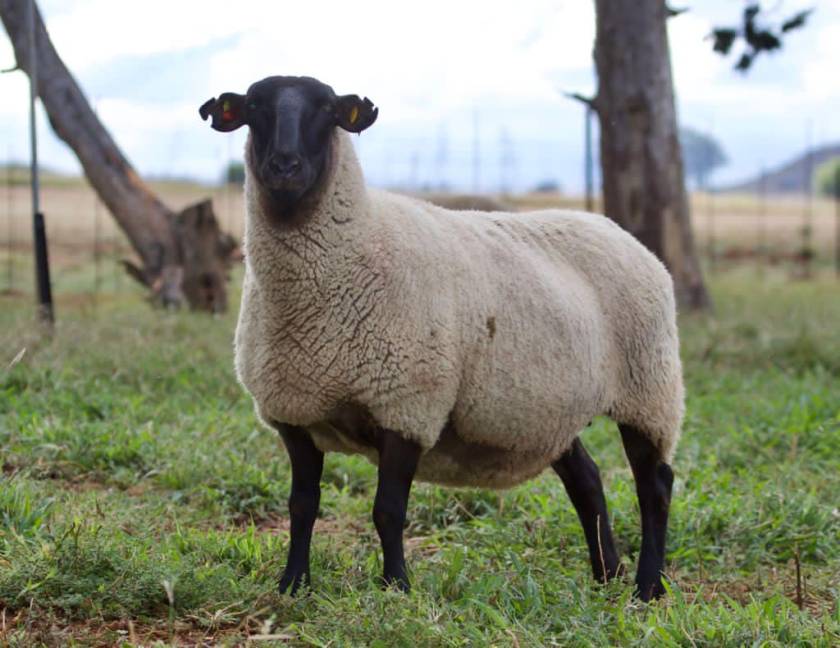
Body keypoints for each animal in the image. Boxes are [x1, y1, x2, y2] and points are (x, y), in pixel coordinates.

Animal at [199, 75, 683, 602]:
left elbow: (387, 510)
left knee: (655, 486)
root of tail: (621, 233)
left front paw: (396, 587)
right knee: (588, 480)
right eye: (254, 108)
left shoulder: (407, 404)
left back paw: (648, 586)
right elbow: (302, 505)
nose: (285, 166)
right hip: (550, 410)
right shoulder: (295, 412)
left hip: (649, 390)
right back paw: (606, 573)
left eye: (327, 110)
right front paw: (292, 584)